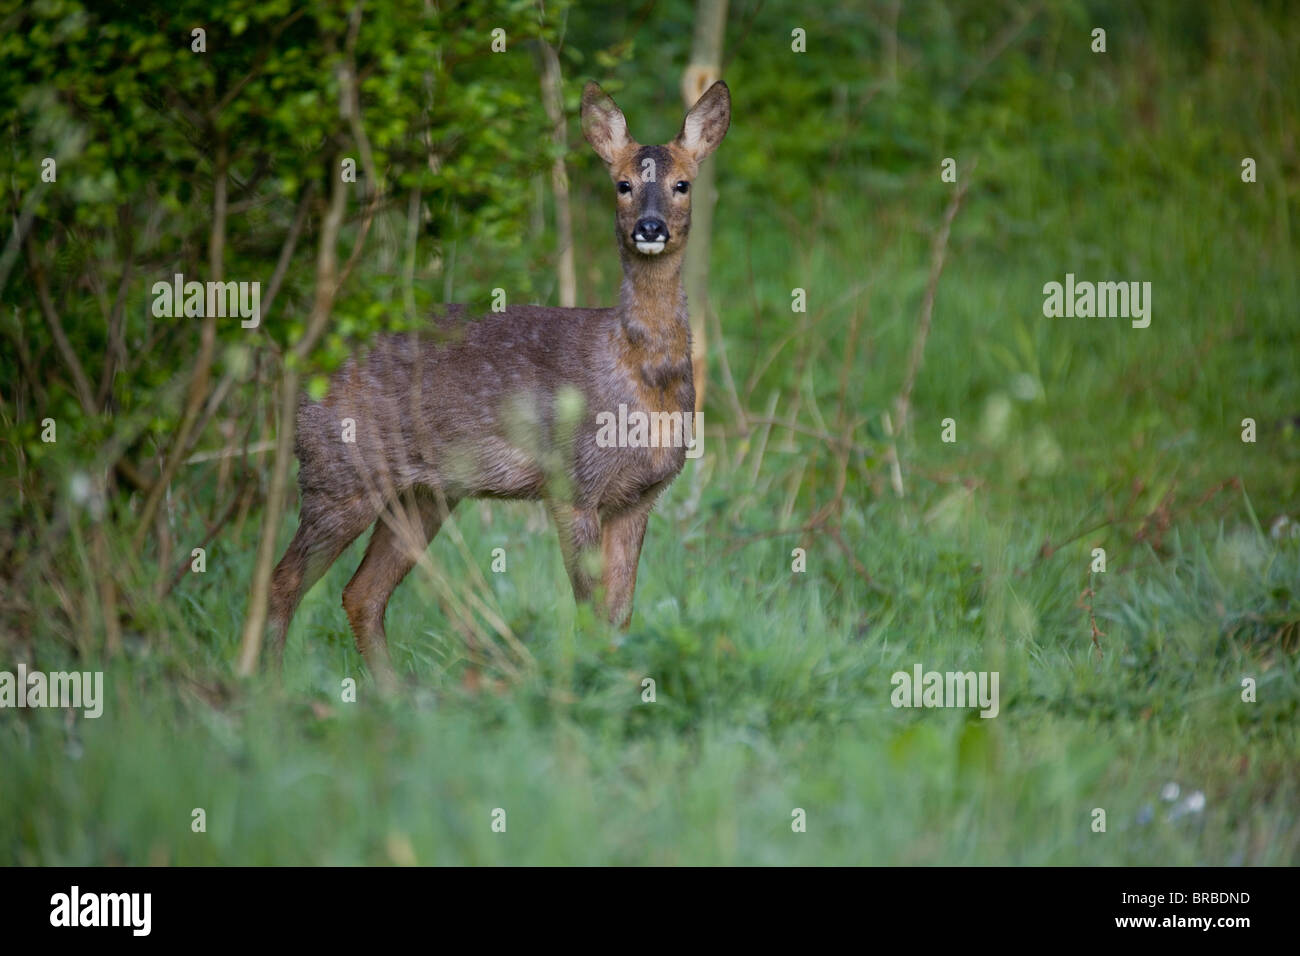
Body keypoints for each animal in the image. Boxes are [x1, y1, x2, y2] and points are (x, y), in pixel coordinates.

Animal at [264, 81, 731, 690]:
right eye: (623, 183)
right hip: (336, 475)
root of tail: (307, 370)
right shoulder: (572, 483)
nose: (649, 228)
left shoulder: (639, 497)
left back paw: (393, 693)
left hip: (426, 493)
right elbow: (590, 613)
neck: (639, 381)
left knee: (360, 592)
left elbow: (620, 616)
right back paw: (266, 686)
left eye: (682, 183)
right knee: (283, 582)